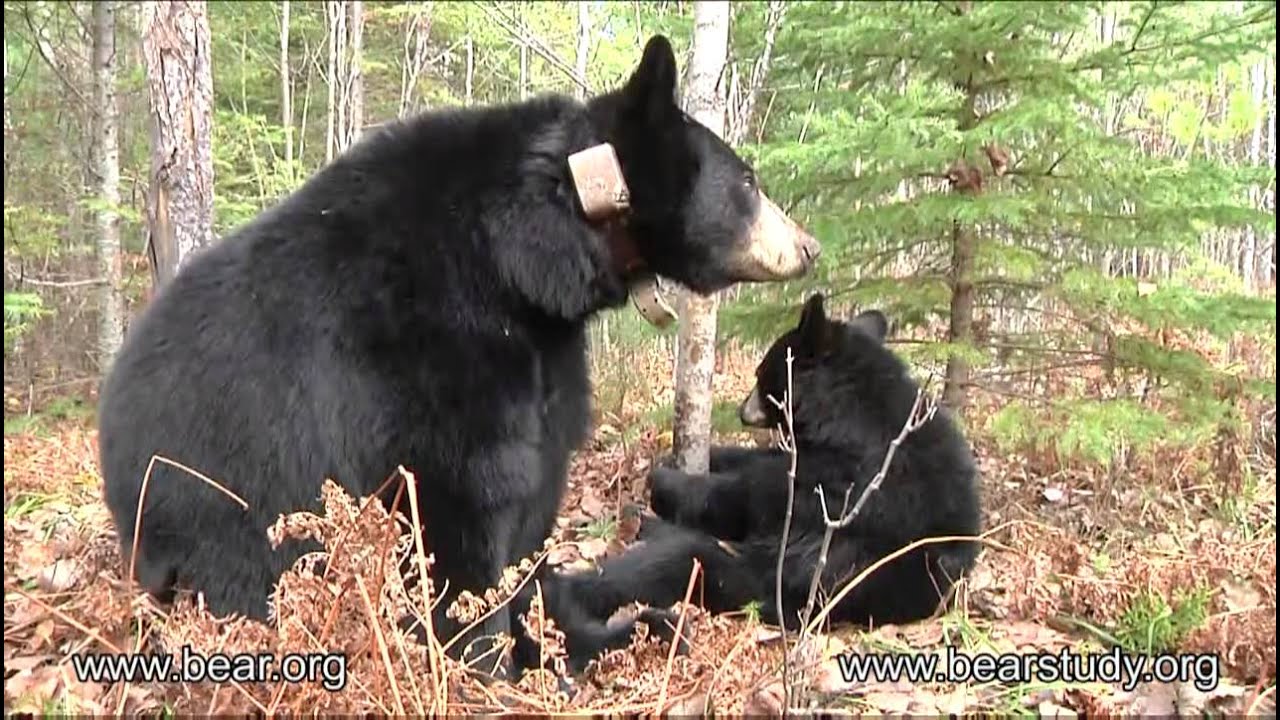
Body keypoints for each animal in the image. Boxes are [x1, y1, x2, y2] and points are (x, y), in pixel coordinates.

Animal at [96, 34, 820, 678]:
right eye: (749, 182)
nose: (809, 245)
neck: (525, 263)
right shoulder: (422, 350)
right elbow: (461, 503)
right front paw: (487, 662)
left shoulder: (546, 354)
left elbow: (537, 500)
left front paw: (576, 638)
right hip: (222, 502)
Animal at [558, 293, 982, 632]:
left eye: (761, 372)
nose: (743, 412)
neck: (852, 416)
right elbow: (757, 459)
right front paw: (695, 456)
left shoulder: (850, 482)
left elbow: (753, 496)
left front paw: (664, 481)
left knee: (687, 562)